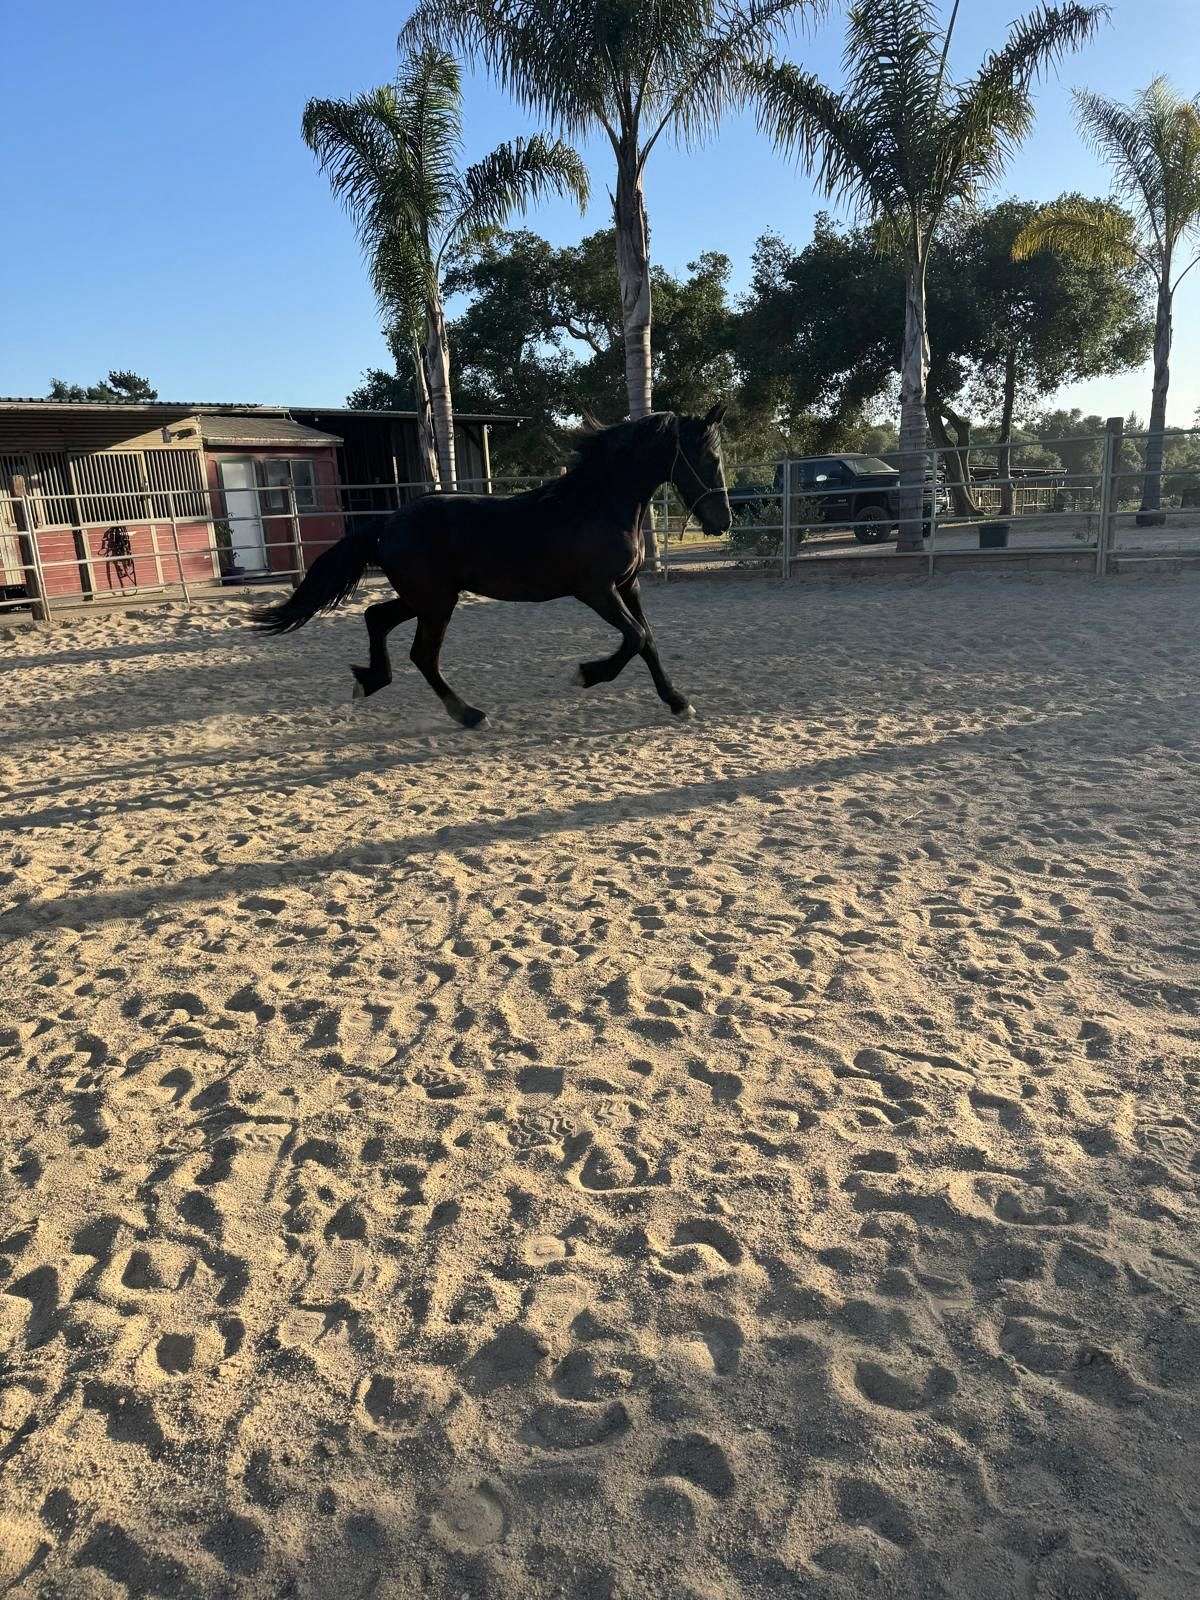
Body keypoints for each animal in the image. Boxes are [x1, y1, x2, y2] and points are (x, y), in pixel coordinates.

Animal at [250, 404, 731, 727]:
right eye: (709, 459)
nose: (722, 521)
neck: (596, 505)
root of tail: (387, 522)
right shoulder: (596, 591)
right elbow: (635, 637)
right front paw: (586, 675)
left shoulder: (628, 586)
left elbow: (648, 641)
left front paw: (678, 701)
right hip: (435, 602)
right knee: (422, 654)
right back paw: (469, 714)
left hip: (425, 598)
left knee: (376, 617)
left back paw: (370, 681)